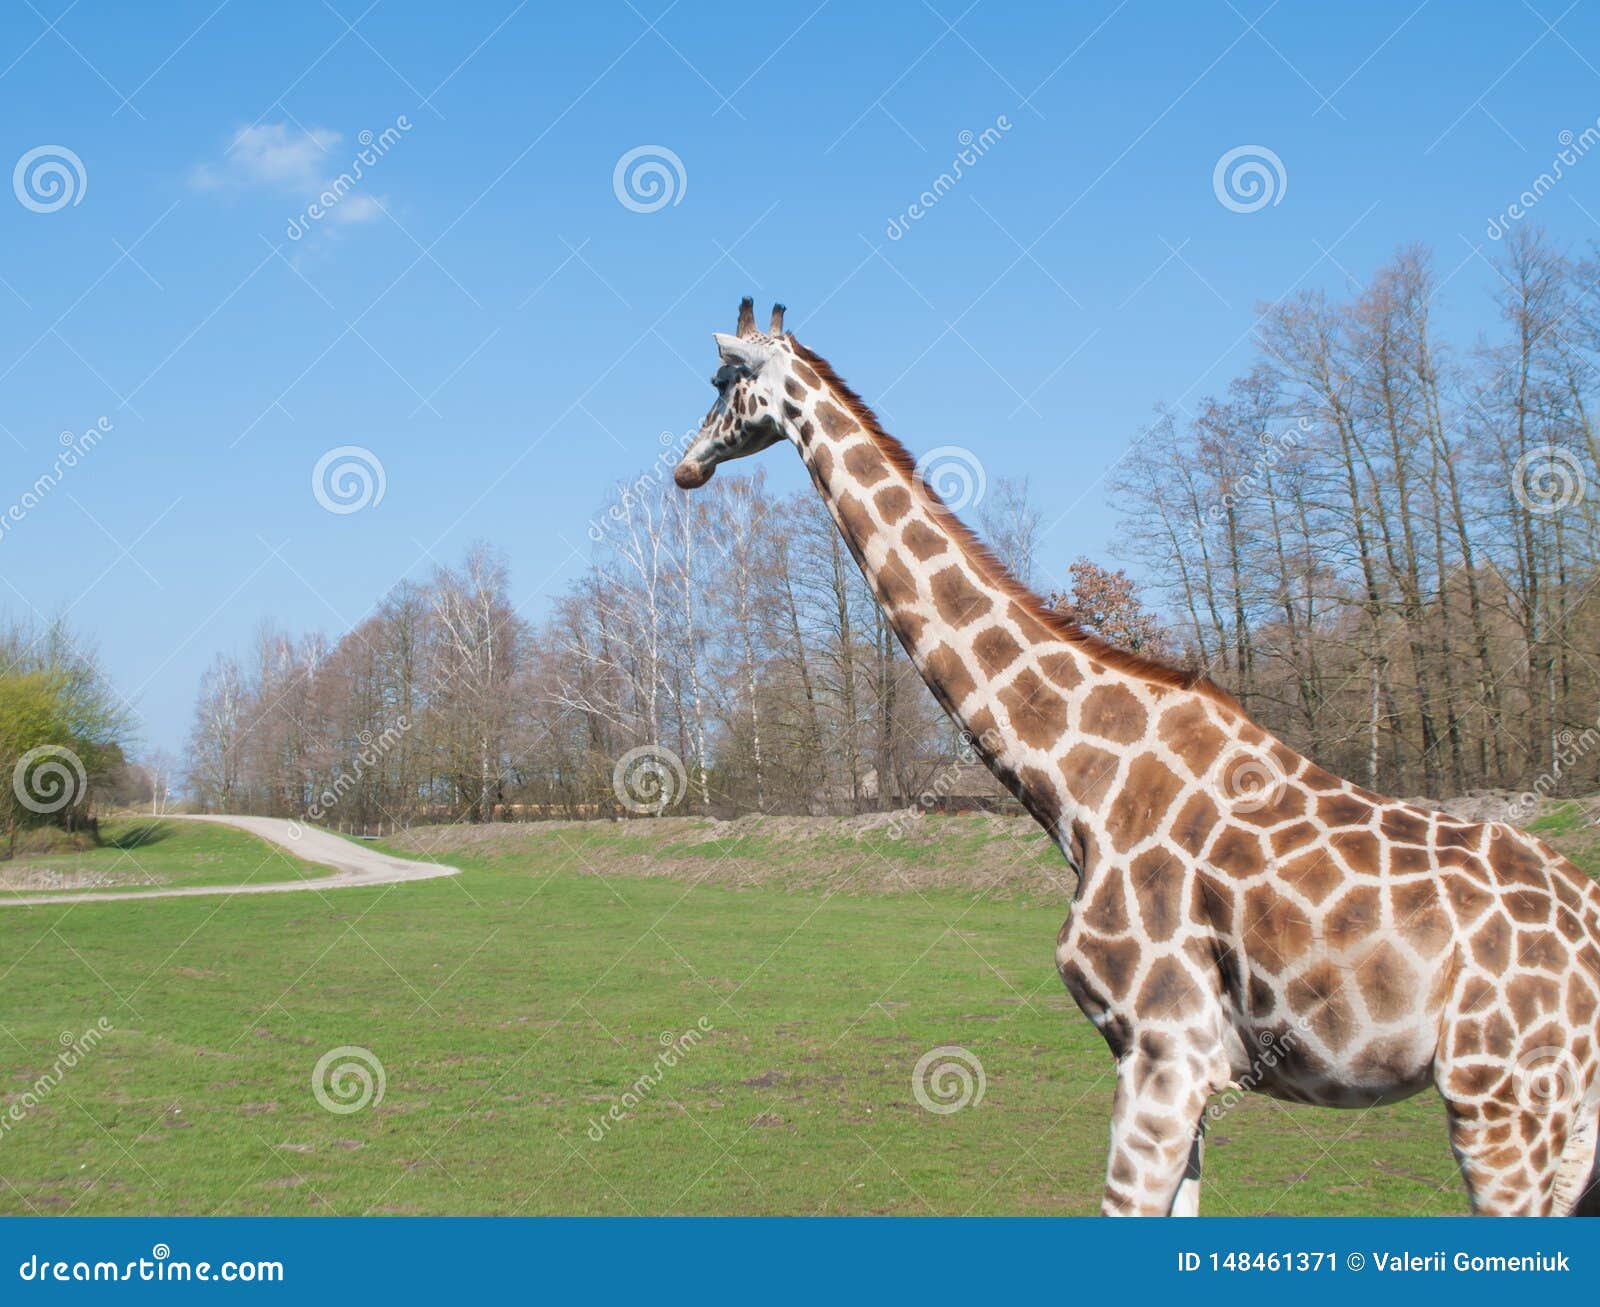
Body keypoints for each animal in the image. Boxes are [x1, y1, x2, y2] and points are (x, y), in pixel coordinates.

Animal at [671, 298, 1600, 1217]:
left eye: (722, 380)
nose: (684, 466)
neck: (1080, 784)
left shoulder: (1164, 1048)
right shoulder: (1178, 1068)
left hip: (1499, 1097)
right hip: (1564, 1123)